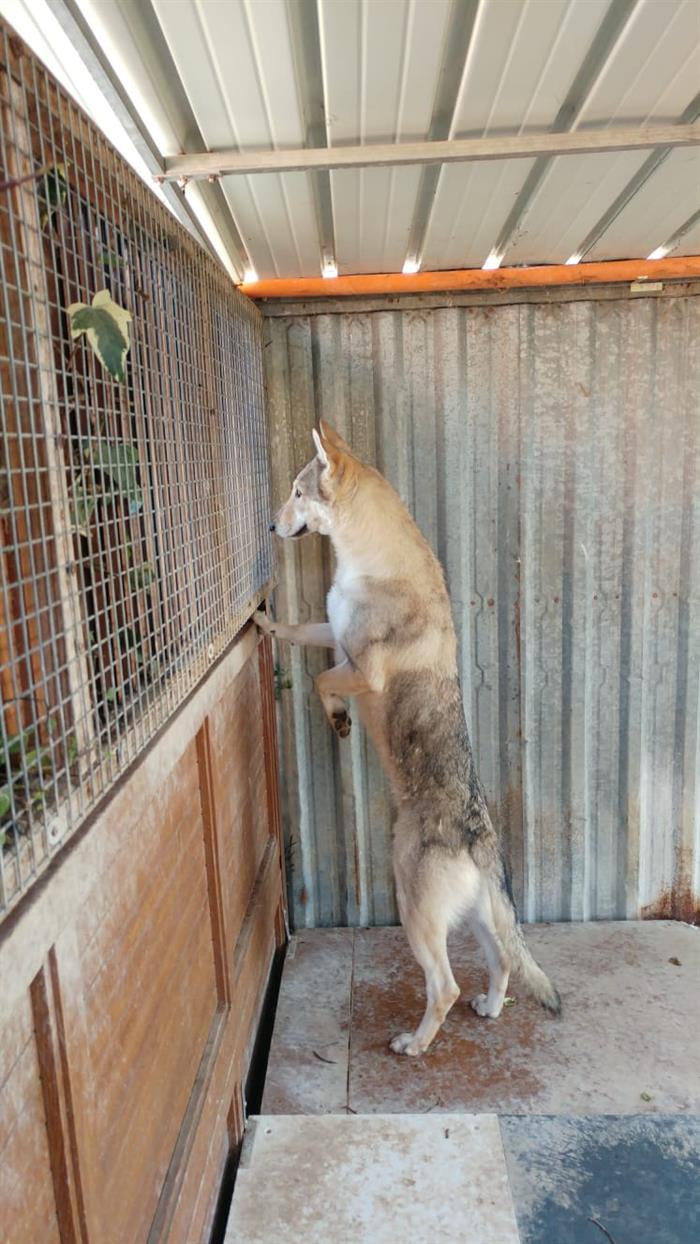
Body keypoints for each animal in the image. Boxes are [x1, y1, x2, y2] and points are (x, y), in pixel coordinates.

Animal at [254, 422, 561, 1054]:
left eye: (296, 493)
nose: (270, 526)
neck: (370, 560)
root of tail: (479, 835)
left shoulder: (359, 669)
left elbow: (321, 680)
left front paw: (339, 720)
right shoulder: (332, 630)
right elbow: (297, 630)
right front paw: (266, 622)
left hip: (413, 911)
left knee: (443, 987)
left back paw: (415, 1043)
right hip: (474, 919)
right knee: (501, 963)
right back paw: (489, 1007)